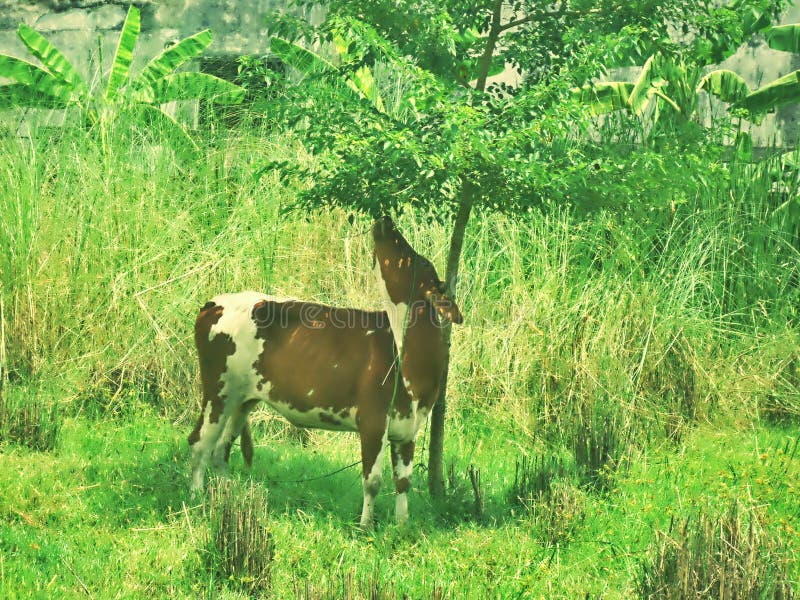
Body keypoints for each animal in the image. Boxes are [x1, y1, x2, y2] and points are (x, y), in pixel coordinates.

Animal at [188, 216, 463, 527]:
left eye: (419, 261)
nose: (387, 219)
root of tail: (213, 303)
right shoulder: (373, 421)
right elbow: (373, 481)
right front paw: (365, 526)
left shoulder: (408, 428)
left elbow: (403, 482)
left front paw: (402, 525)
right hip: (218, 389)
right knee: (200, 442)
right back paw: (197, 498)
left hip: (243, 398)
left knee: (220, 450)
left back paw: (227, 497)